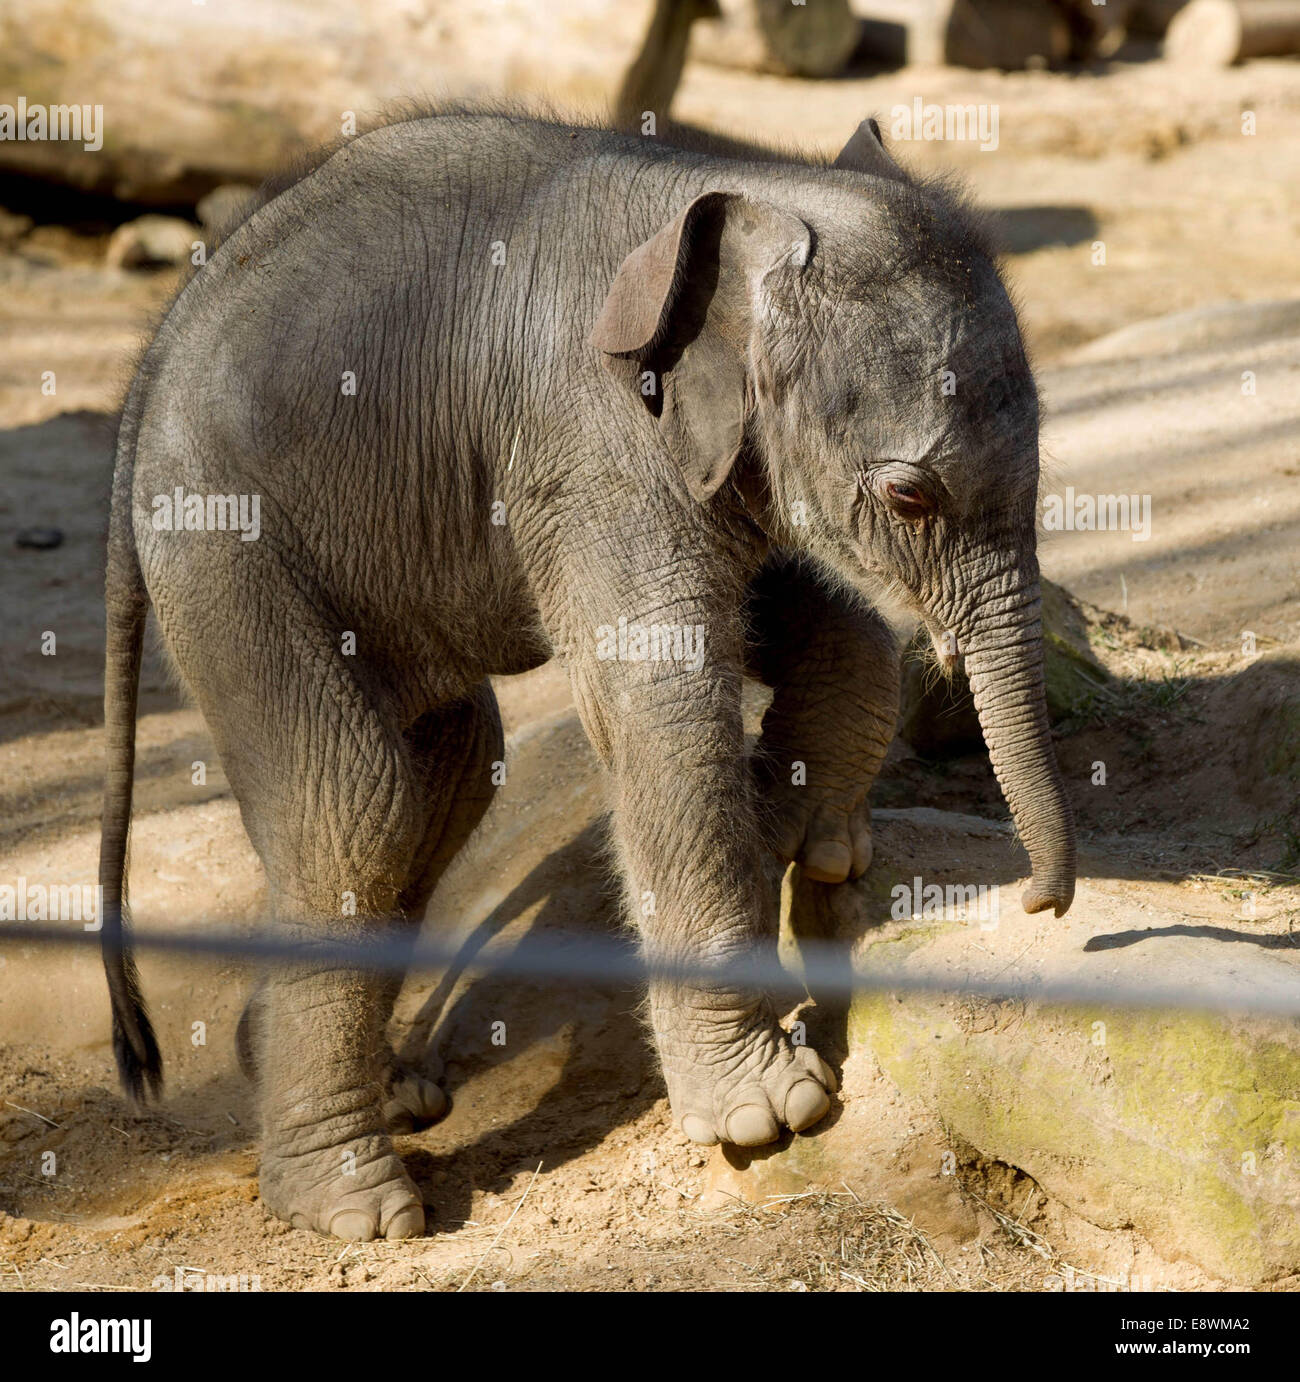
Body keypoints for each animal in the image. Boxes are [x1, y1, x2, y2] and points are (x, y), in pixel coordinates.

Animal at [99, 104, 1076, 1242]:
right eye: (909, 495)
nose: (1037, 906)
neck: (741, 183)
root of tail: (148, 372)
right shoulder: (587, 438)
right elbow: (663, 695)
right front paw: (768, 1114)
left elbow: (810, 625)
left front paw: (806, 841)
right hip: (227, 545)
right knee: (354, 805)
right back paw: (357, 1204)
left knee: (449, 766)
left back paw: (364, 1083)